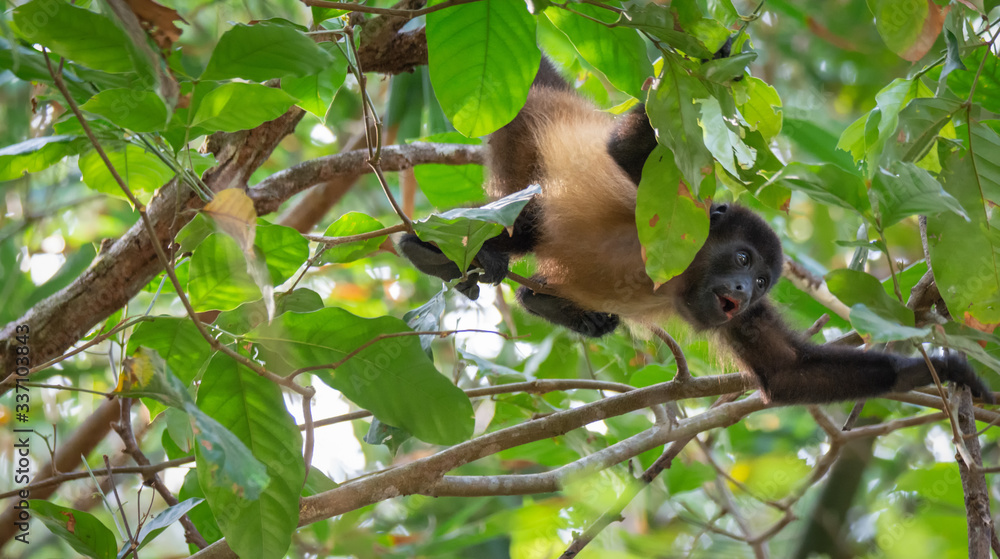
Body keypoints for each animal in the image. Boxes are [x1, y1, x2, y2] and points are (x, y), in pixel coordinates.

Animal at [397, 58, 993, 405]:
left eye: (762, 285)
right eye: (744, 260)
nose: (744, 291)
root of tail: (554, 100)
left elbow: (790, 371)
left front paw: (938, 372)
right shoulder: (673, 203)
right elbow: (623, 152)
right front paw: (713, 58)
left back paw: (558, 308)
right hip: (521, 144)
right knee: (527, 214)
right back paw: (436, 251)